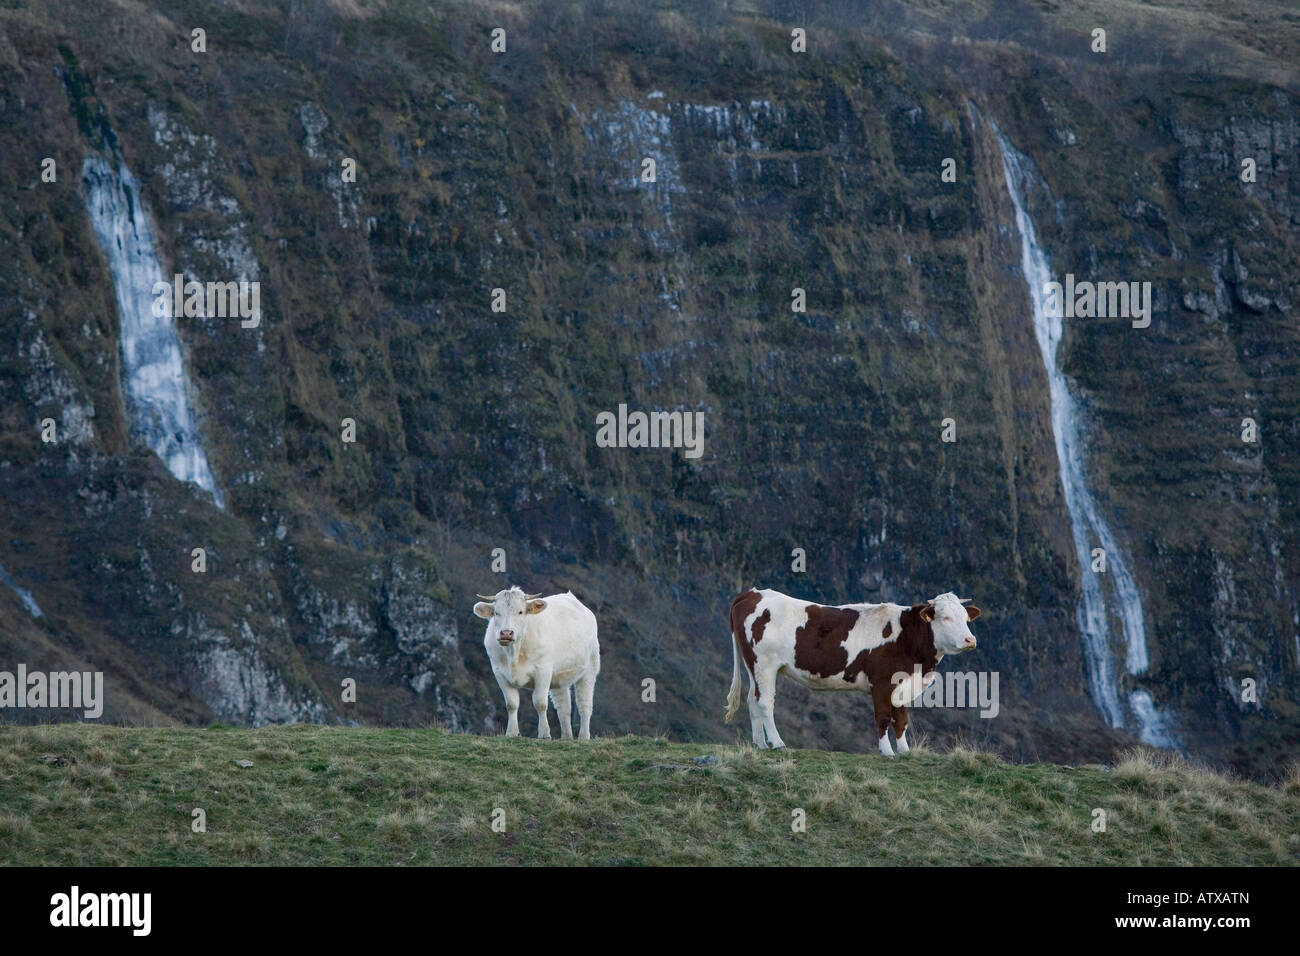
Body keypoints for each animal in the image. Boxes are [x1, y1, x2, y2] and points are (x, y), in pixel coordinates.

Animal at [473, 586, 600, 740]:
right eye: (496, 612)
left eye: (520, 612)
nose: (506, 633)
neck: (514, 654)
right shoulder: (499, 672)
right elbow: (511, 704)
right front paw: (511, 732)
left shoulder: (543, 670)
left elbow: (540, 703)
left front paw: (544, 734)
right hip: (559, 678)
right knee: (564, 707)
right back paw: (566, 737)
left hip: (589, 670)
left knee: (584, 705)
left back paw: (583, 737)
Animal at [724, 588, 982, 756]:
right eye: (945, 618)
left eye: (965, 617)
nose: (970, 640)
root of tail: (752, 593)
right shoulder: (881, 683)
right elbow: (883, 717)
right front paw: (887, 751)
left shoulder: (903, 682)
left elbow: (901, 719)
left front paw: (905, 751)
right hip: (765, 664)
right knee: (765, 702)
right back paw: (777, 743)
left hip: (753, 666)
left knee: (753, 700)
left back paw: (759, 744)